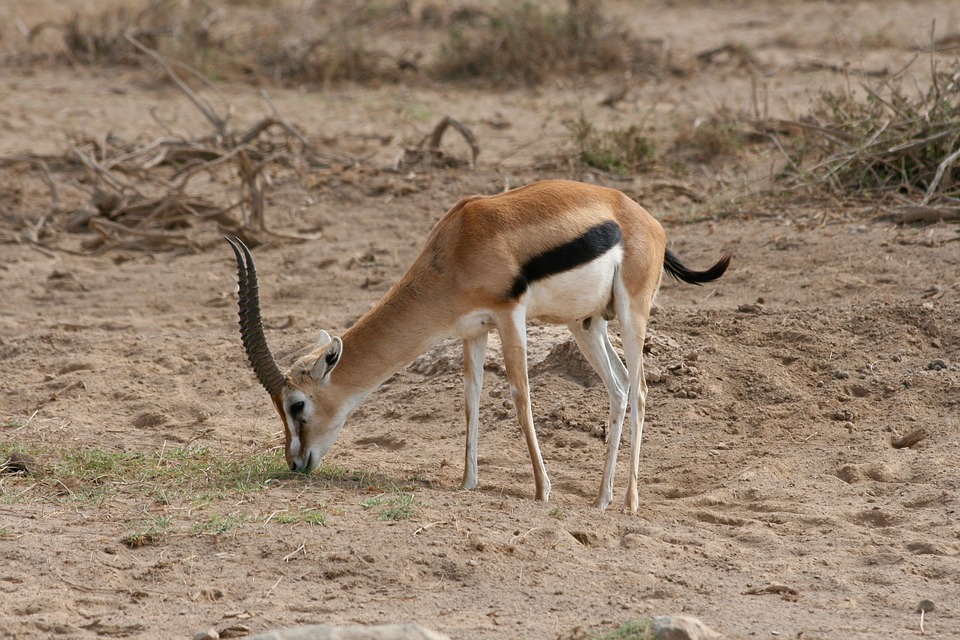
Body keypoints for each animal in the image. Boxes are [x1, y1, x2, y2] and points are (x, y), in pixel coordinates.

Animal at [227, 180, 730, 512]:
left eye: (296, 405)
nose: (296, 462)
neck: (456, 247)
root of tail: (648, 221)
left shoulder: (510, 316)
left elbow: (521, 397)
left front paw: (542, 491)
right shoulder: (473, 330)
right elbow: (471, 400)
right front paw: (468, 482)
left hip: (630, 314)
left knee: (640, 391)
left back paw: (628, 501)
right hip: (585, 324)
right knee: (620, 387)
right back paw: (602, 499)